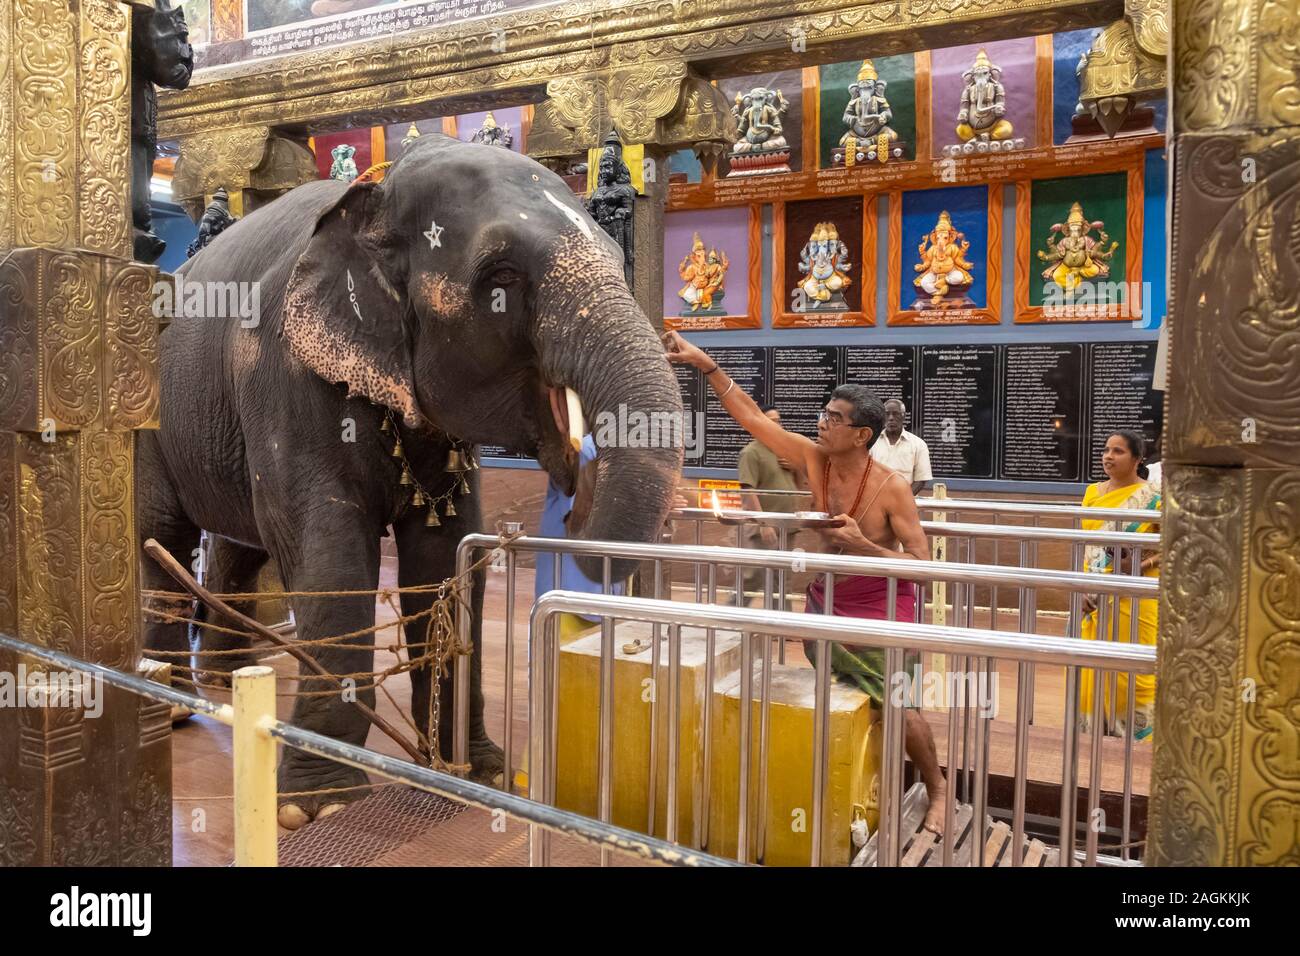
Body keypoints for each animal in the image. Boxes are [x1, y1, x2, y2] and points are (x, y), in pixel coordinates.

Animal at [140, 133, 684, 829]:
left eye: (620, 259)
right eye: (501, 278)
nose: (573, 490)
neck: (375, 197)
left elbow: (446, 553)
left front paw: (473, 772)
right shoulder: (284, 375)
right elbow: (330, 551)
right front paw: (318, 808)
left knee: (238, 547)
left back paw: (222, 684)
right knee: (165, 539)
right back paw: (173, 708)